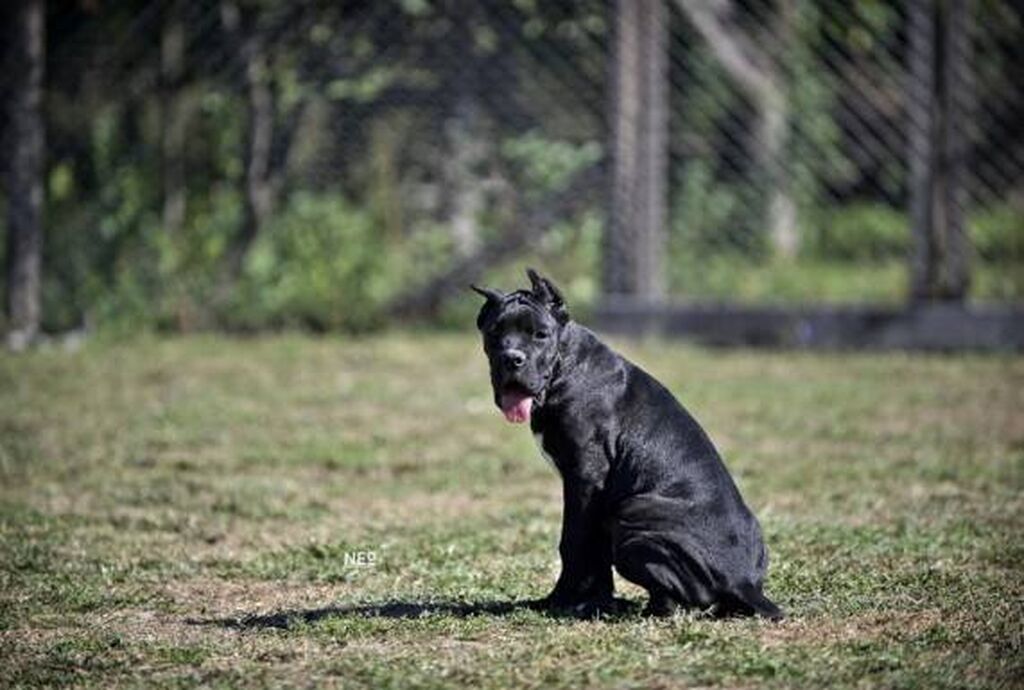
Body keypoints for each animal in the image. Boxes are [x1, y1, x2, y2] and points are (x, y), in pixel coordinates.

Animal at [471, 268, 782, 618]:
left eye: (540, 335)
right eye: (494, 333)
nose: (512, 358)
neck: (566, 367)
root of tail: (744, 583)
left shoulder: (585, 479)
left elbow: (573, 544)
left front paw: (561, 602)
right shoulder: (594, 496)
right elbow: (594, 554)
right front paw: (593, 600)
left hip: (631, 514)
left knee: (674, 599)